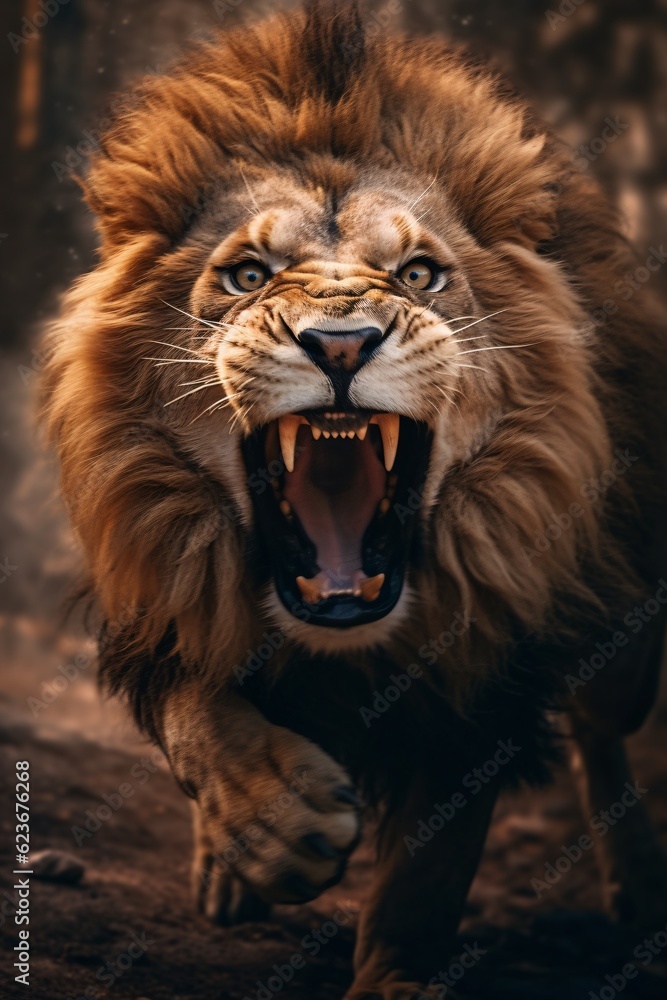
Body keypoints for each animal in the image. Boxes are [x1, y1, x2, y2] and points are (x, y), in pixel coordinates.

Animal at [40, 2, 667, 996]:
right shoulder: (164, 592)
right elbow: (197, 717)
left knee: (603, 719)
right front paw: (273, 828)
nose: (339, 343)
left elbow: (423, 877)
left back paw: (640, 884)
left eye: (417, 274)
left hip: (617, 650)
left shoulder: (473, 684)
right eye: (248, 275)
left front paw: (394, 978)